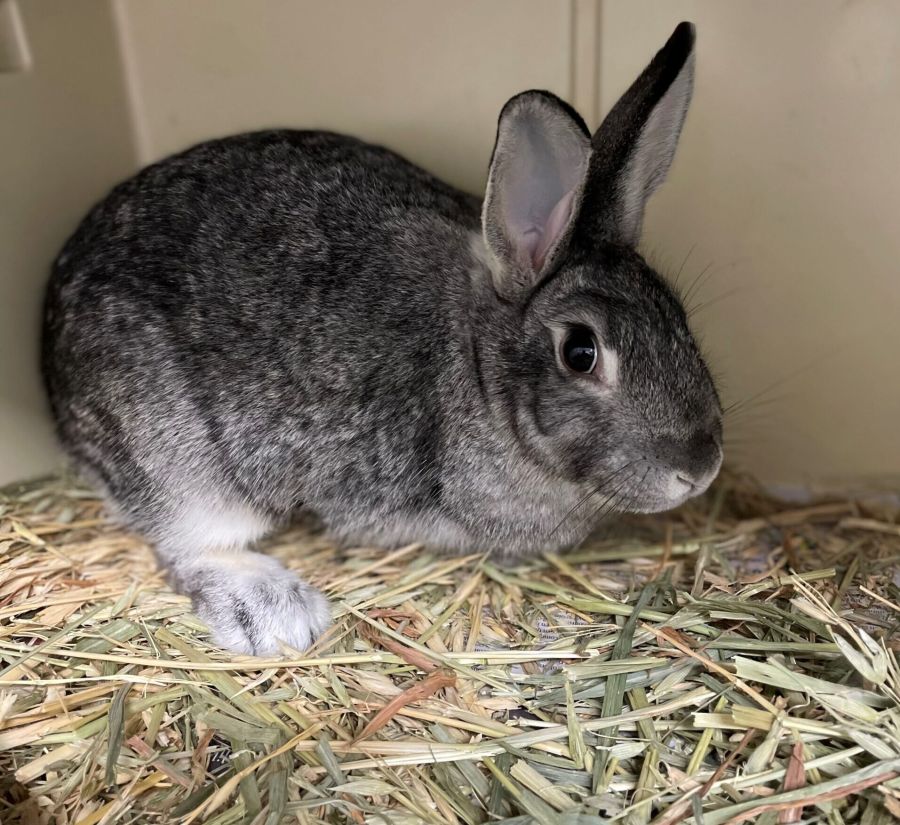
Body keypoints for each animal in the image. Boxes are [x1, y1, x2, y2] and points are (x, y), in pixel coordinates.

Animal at [42, 22, 722, 655]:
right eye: (580, 351)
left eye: (678, 314)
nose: (700, 468)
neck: (475, 358)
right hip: (174, 455)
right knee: (187, 542)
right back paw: (274, 613)